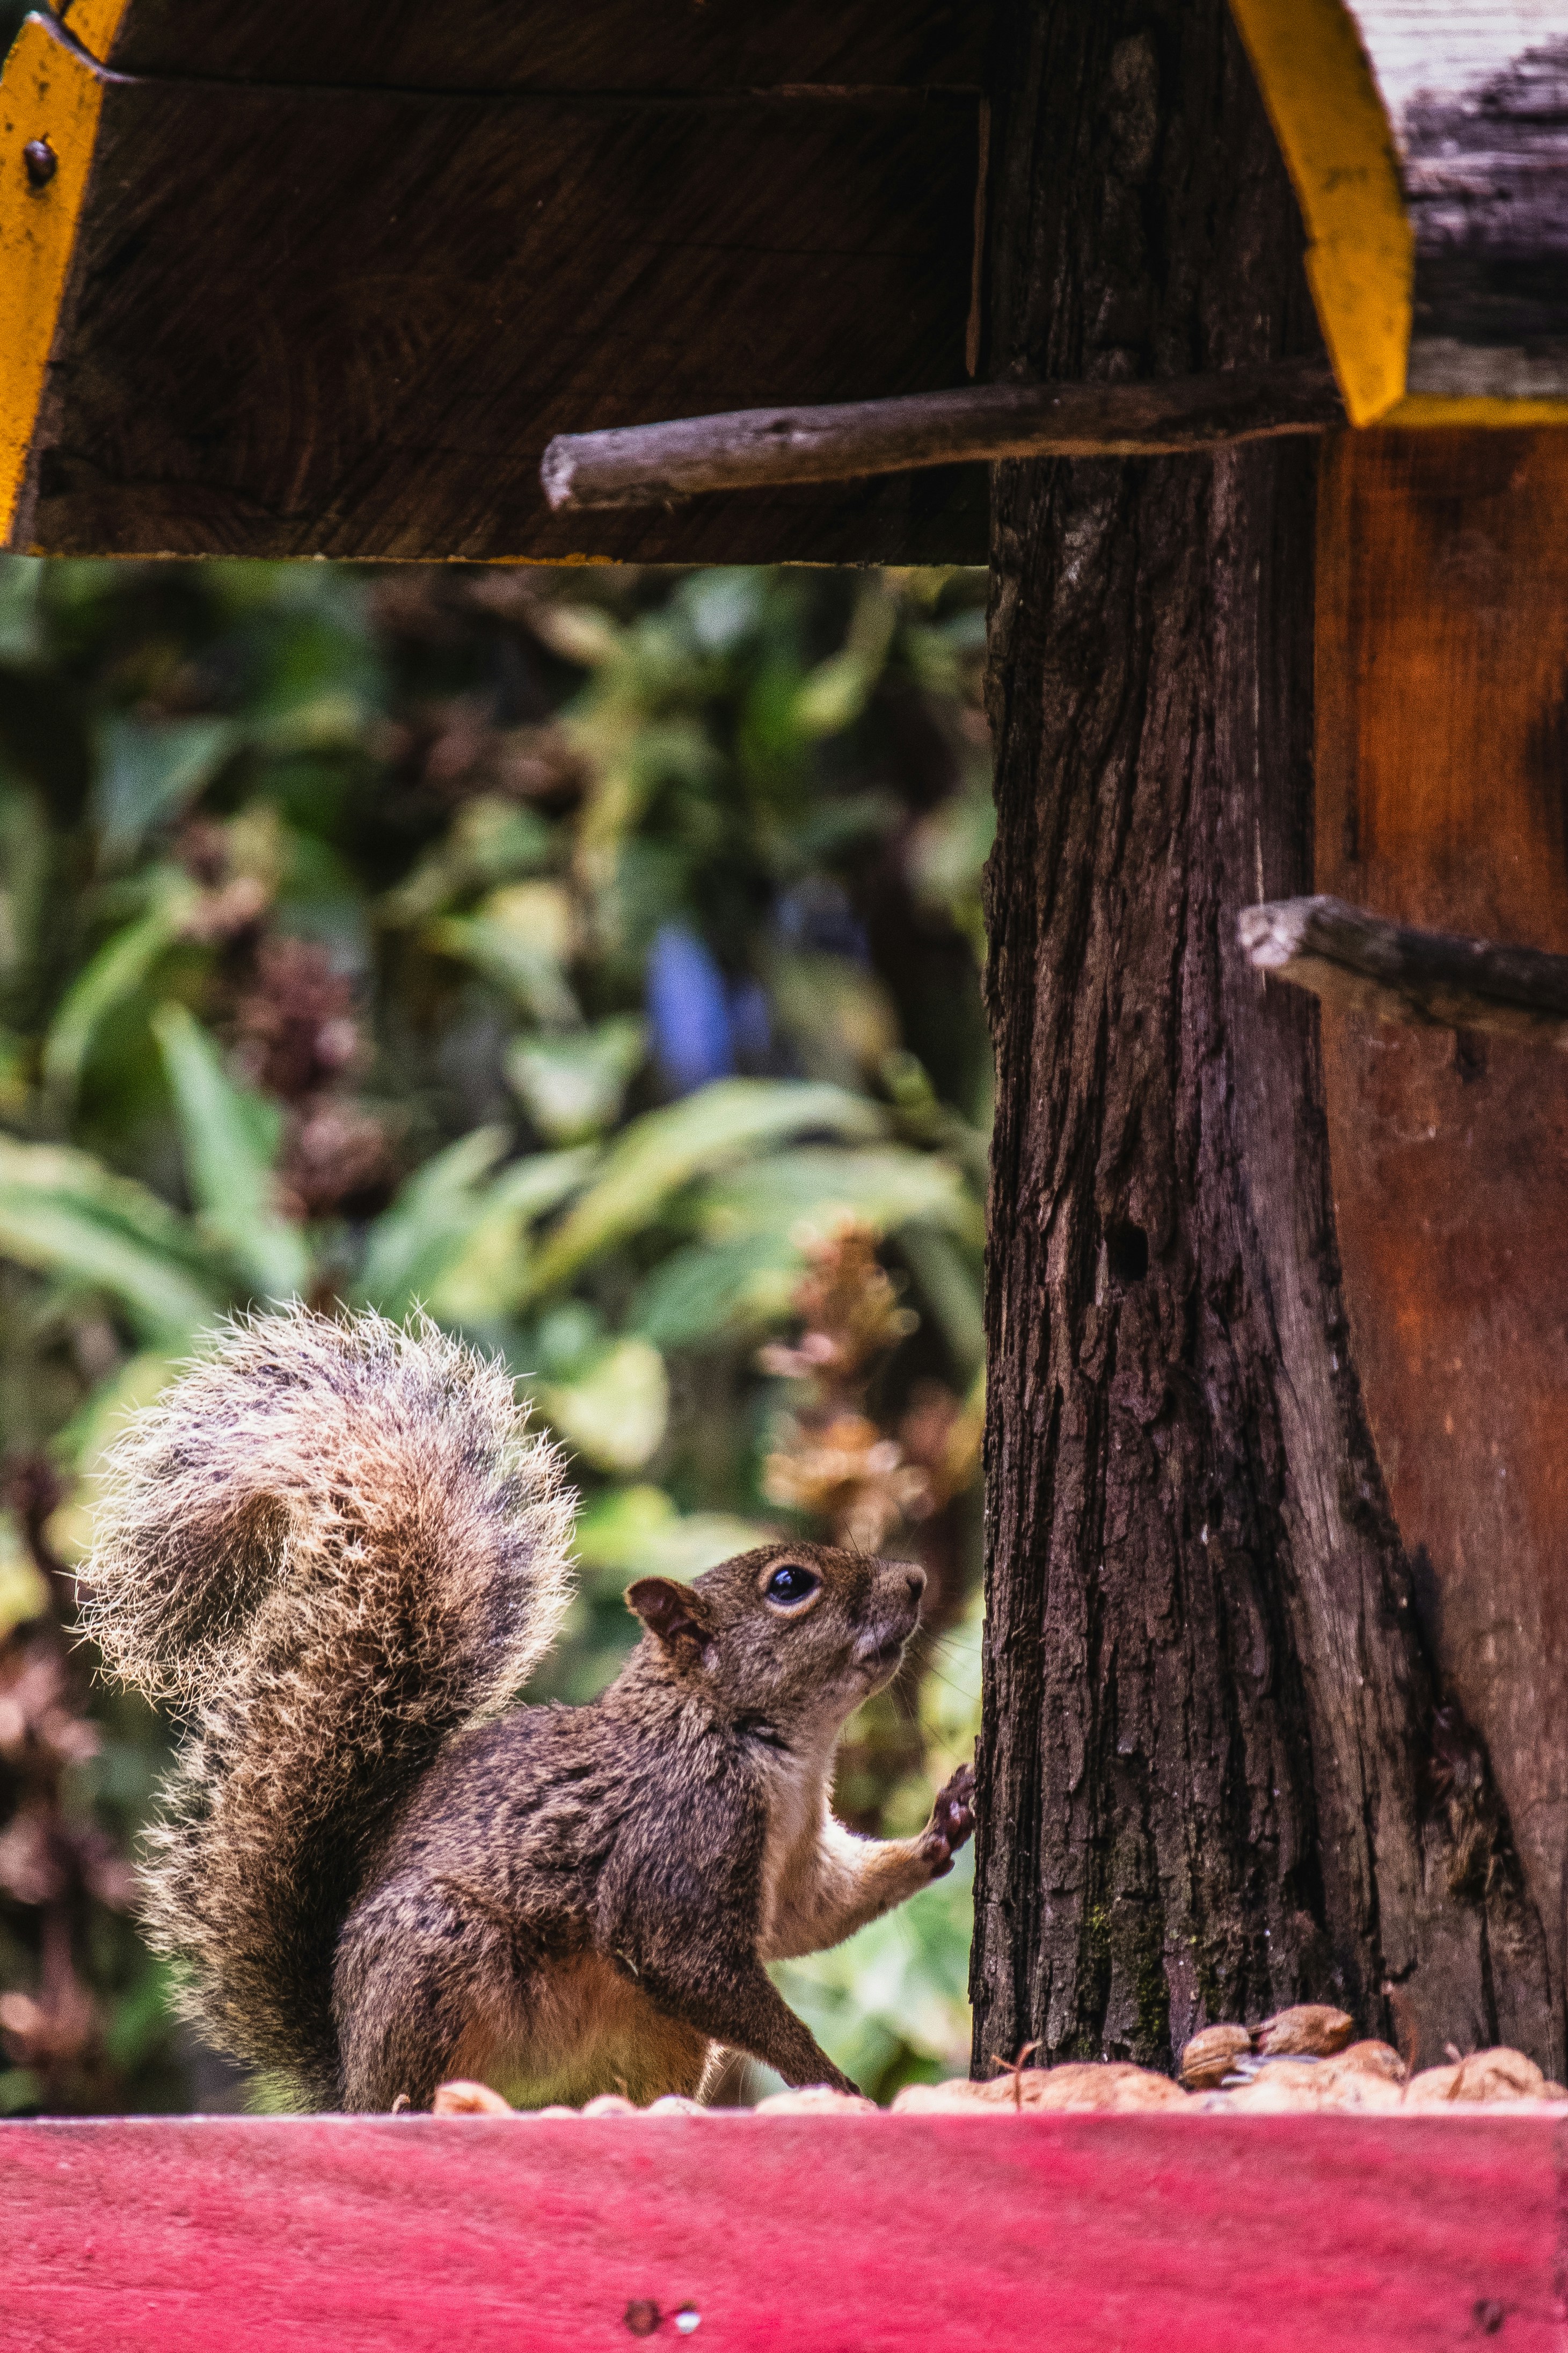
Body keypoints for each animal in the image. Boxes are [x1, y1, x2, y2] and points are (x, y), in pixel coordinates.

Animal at [80, 1306, 976, 2112]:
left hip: (652, 2037)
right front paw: (829, 2080)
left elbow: (814, 1913)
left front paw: (947, 1822)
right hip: (434, 1957)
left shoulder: (791, 1861)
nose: (914, 1581)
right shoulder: (680, 1836)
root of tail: (348, 2074)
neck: (770, 1747)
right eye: (789, 1584)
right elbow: (688, 1957)